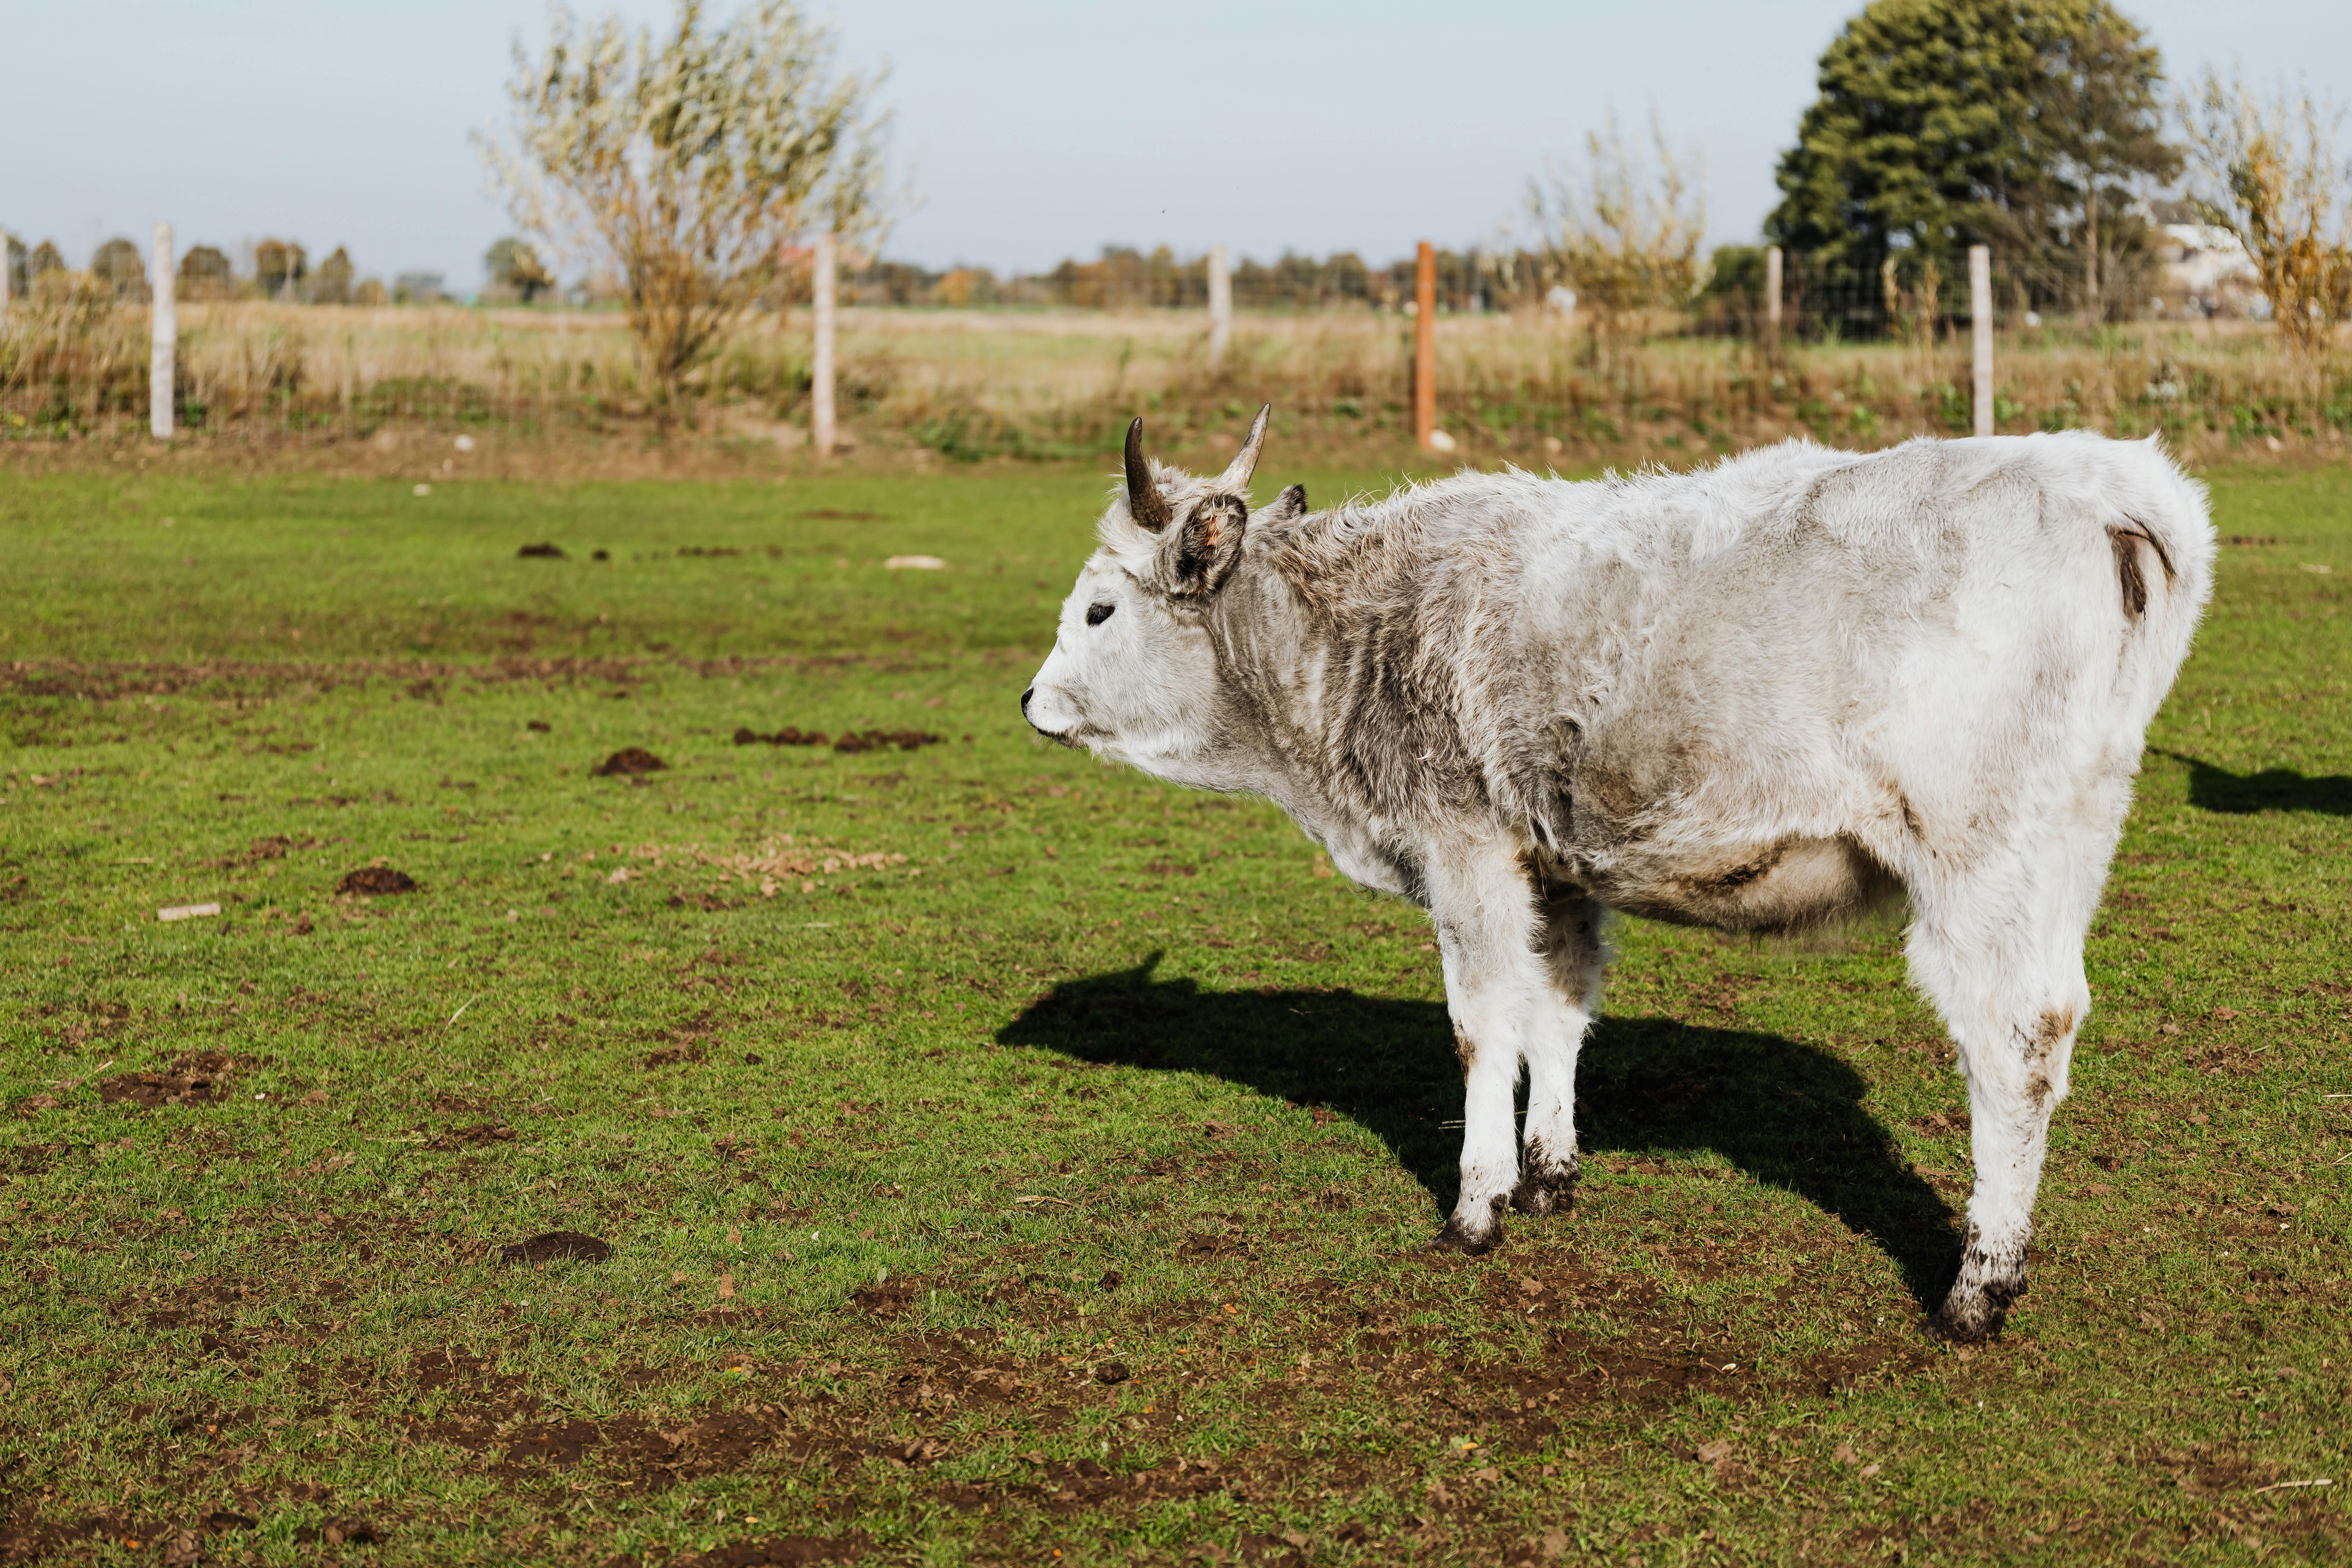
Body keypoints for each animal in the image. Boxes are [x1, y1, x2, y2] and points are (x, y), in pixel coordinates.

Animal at [1021, 408, 2212, 1341]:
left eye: (1098, 610)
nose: (1029, 702)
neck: (1356, 632)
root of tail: (2107, 485)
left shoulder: (1464, 847)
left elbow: (1480, 1025)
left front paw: (1477, 1203)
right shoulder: (1556, 867)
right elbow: (1558, 1006)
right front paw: (1550, 1172)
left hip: (1976, 857)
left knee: (2008, 1044)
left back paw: (1979, 1284)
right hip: (2071, 840)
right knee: (2057, 1019)